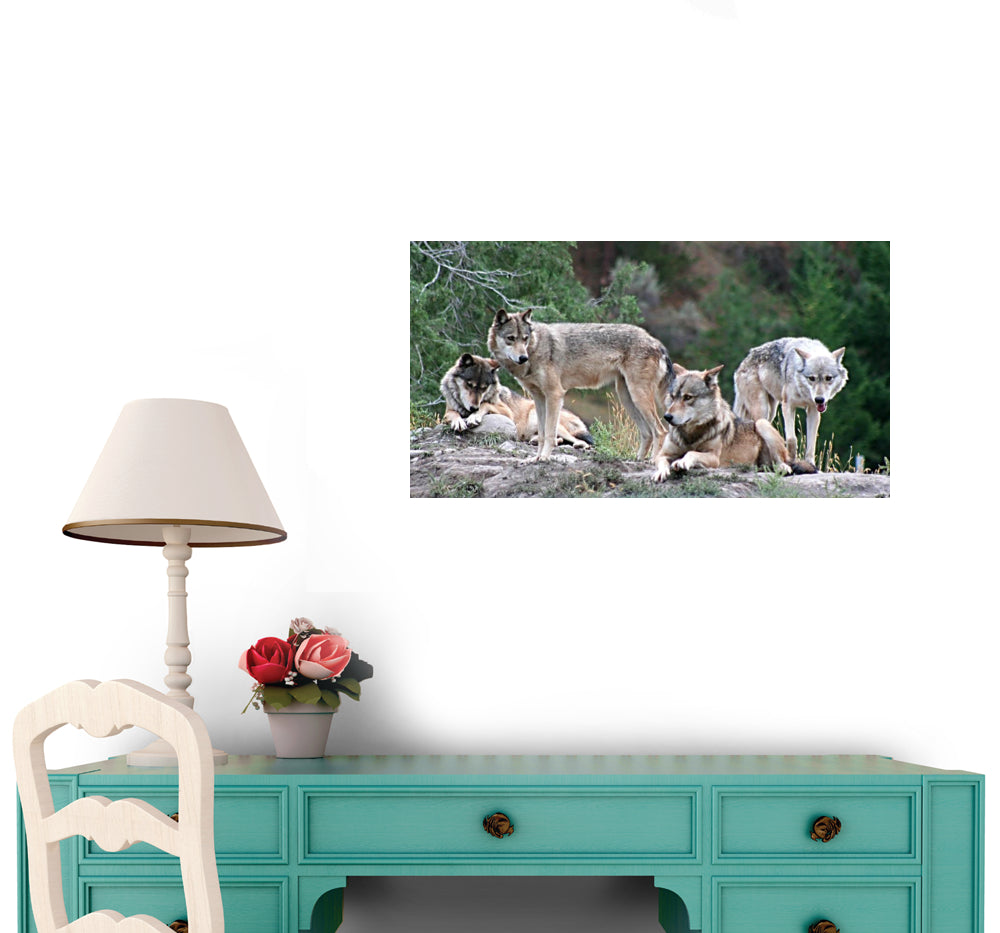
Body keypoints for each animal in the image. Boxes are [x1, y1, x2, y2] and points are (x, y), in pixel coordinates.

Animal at [440, 353, 592, 447]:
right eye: (469, 385)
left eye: (484, 388)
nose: (473, 408)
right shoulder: (448, 412)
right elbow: (453, 414)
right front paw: (459, 421)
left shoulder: (507, 412)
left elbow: (485, 404)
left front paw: (473, 417)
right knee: (555, 439)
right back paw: (535, 440)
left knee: (580, 441)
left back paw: (579, 445)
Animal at [488, 308, 671, 461]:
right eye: (511, 338)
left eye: (525, 339)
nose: (522, 358)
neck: (536, 347)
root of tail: (657, 342)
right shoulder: (538, 398)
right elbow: (541, 434)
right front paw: (536, 458)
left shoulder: (555, 395)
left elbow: (550, 434)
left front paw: (545, 458)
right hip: (627, 397)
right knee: (647, 433)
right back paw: (637, 460)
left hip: (638, 397)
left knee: (660, 431)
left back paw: (653, 461)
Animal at [653, 363, 816, 482]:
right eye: (673, 397)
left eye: (687, 397)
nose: (667, 417)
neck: (690, 435)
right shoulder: (663, 454)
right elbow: (660, 461)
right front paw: (660, 473)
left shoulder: (714, 458)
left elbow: (691, 453)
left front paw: (682, 462)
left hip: (761, 423)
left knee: (784, 462)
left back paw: (783, 468)